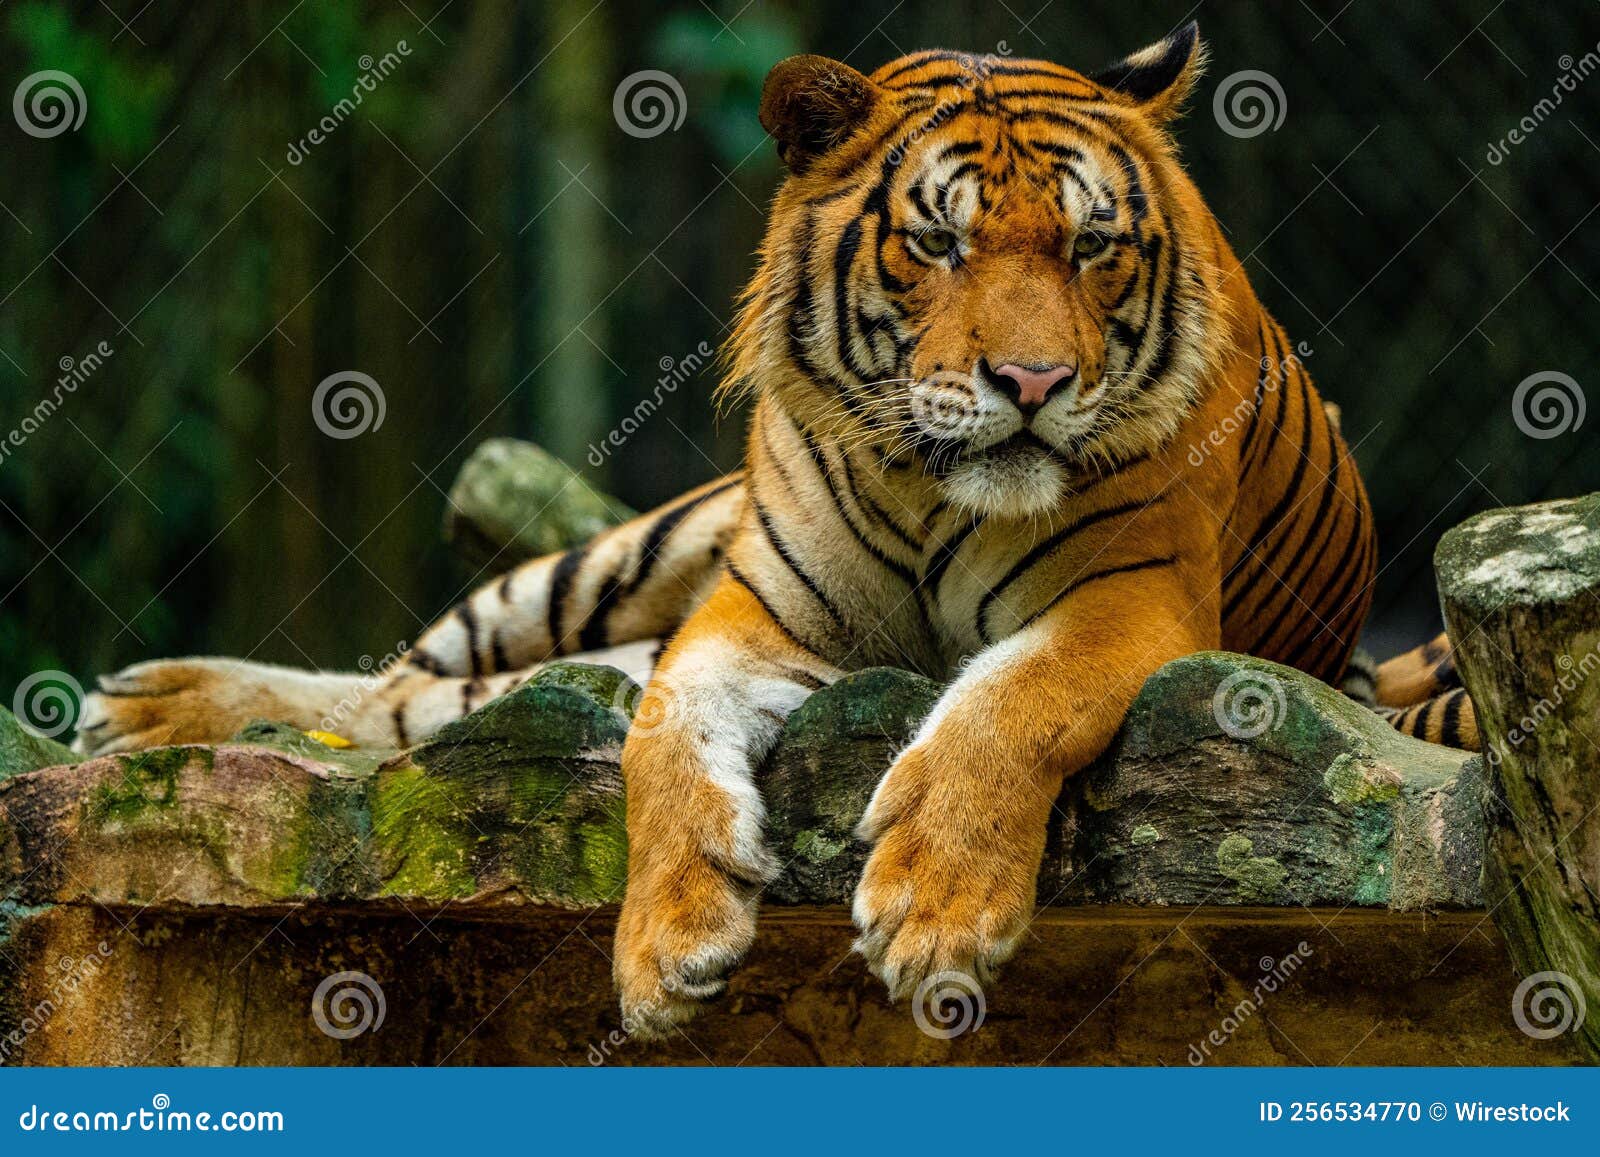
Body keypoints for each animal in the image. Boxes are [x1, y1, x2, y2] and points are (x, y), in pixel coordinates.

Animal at [74, 24, 1481, 1035]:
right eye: (938, 243)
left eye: (1091, 248)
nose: (1033, 382)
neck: (933, 487)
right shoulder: (749, 606)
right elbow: (662, 735)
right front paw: (664, 945)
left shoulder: (1132, 598)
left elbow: (1005, 703)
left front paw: (933, 911)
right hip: (619, 561)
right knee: (404, 687)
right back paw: (149, 705)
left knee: (436, 705)